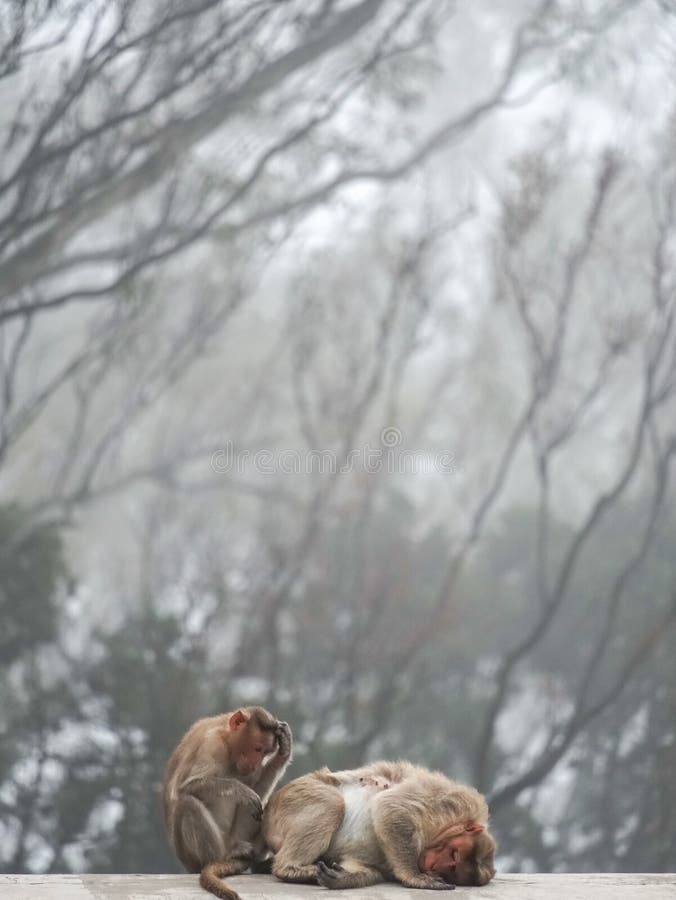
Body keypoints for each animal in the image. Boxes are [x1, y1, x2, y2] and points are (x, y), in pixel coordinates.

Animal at [163, 706, 293, 900]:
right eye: (257, 748)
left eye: (265, 752)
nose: (255, 765)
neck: (227, 742)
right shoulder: (211, 744)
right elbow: (184, 787)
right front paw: (242, 791)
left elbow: (259, 797)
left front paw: (284, 750)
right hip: (195, 858)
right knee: (187, 804)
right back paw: (224, 856)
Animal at [263, 760, 496, 891]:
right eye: (453, 855)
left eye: (452, 870)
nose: (433, 865)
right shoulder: (453, 802)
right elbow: (391, 807)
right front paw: (416, 877)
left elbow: (363, 866)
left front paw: (344, 878)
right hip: (297, 794)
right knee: (331, 803)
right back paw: (290, 868)